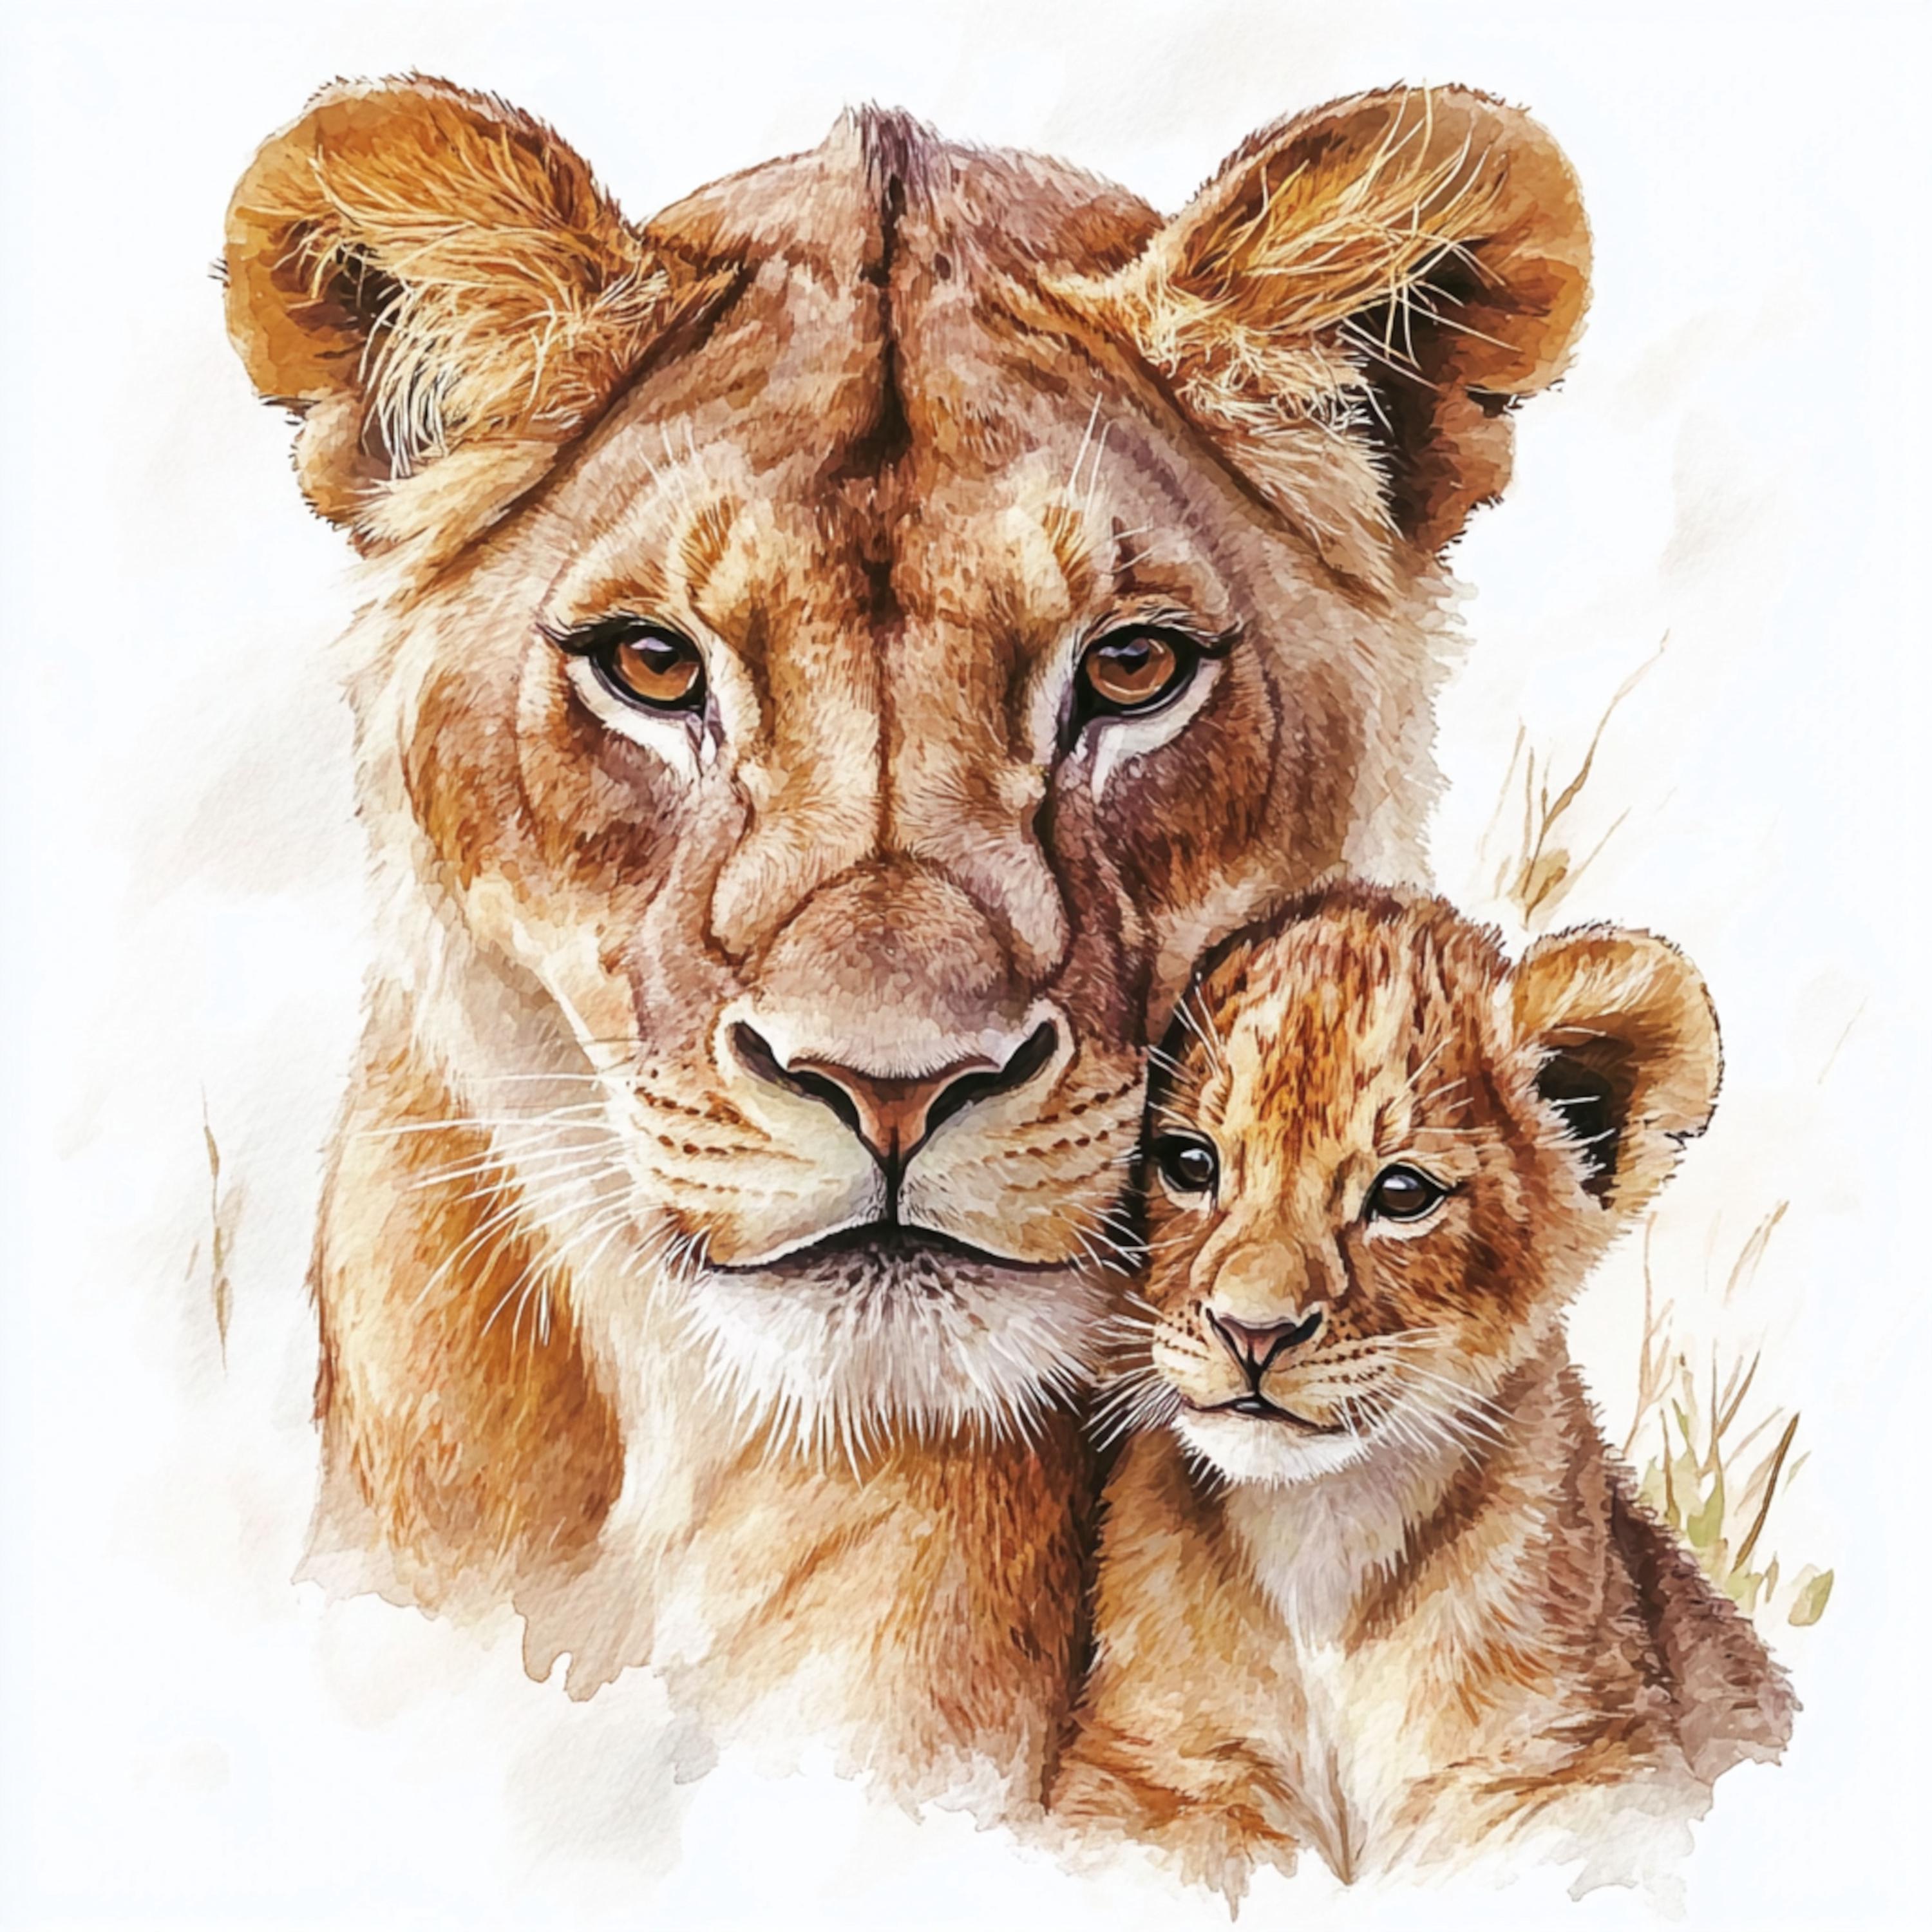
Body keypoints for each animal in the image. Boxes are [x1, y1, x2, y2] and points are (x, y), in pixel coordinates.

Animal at [1051, 885, 1794, 1886]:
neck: (1324, 1533)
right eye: (1190, 1163)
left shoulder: (1570, 1774)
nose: (1253, 1331)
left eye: (1402, 1196)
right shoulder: (1157, 1774)